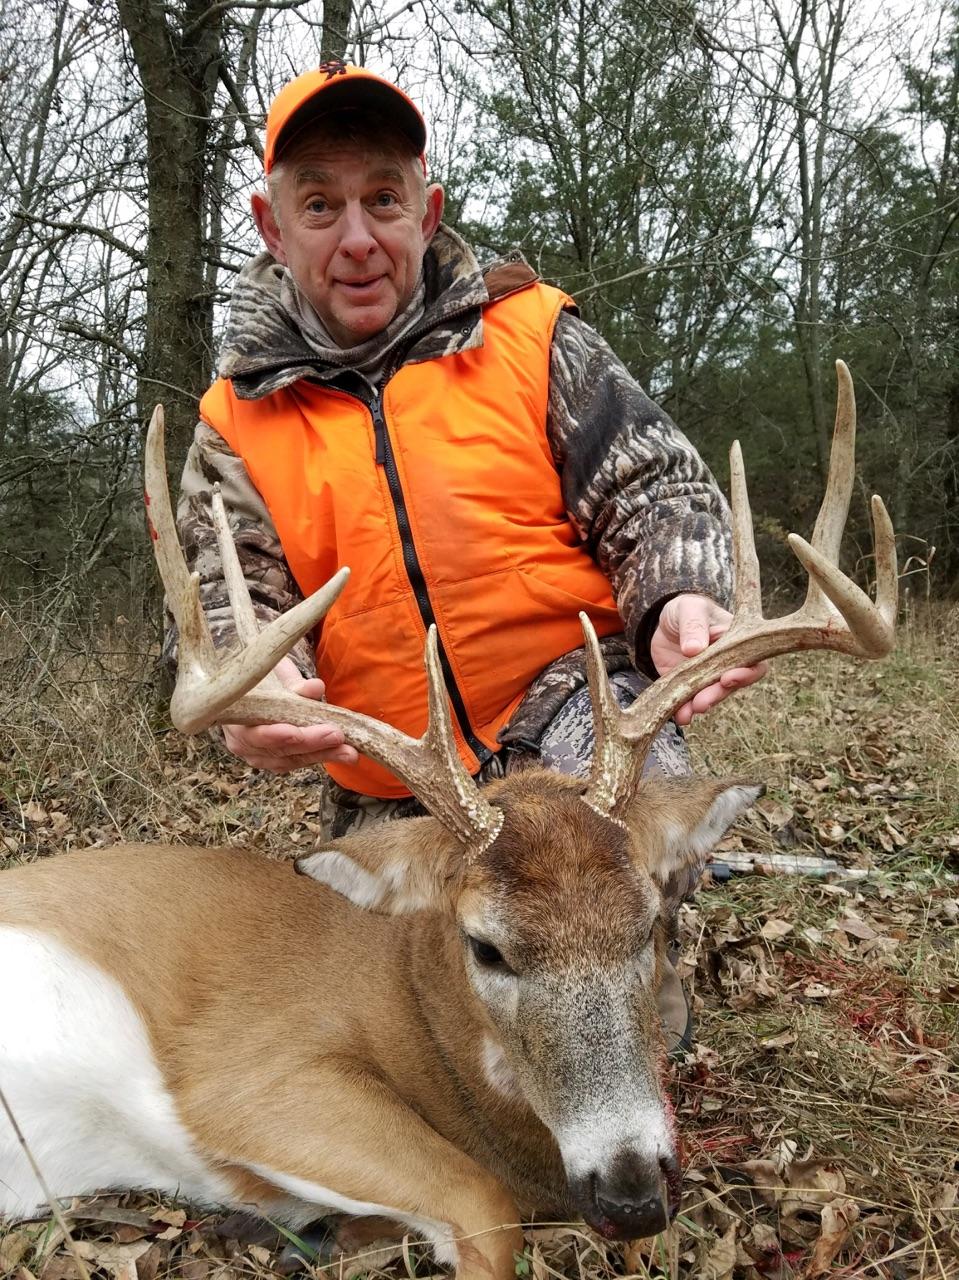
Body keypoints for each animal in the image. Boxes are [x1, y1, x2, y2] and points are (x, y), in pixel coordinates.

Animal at [0, 363, 896, 1280]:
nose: (631, 1195)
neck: (411, 1009)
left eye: (650, 926)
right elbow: (485, 1207)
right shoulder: (247, 1074)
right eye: (485, 947)